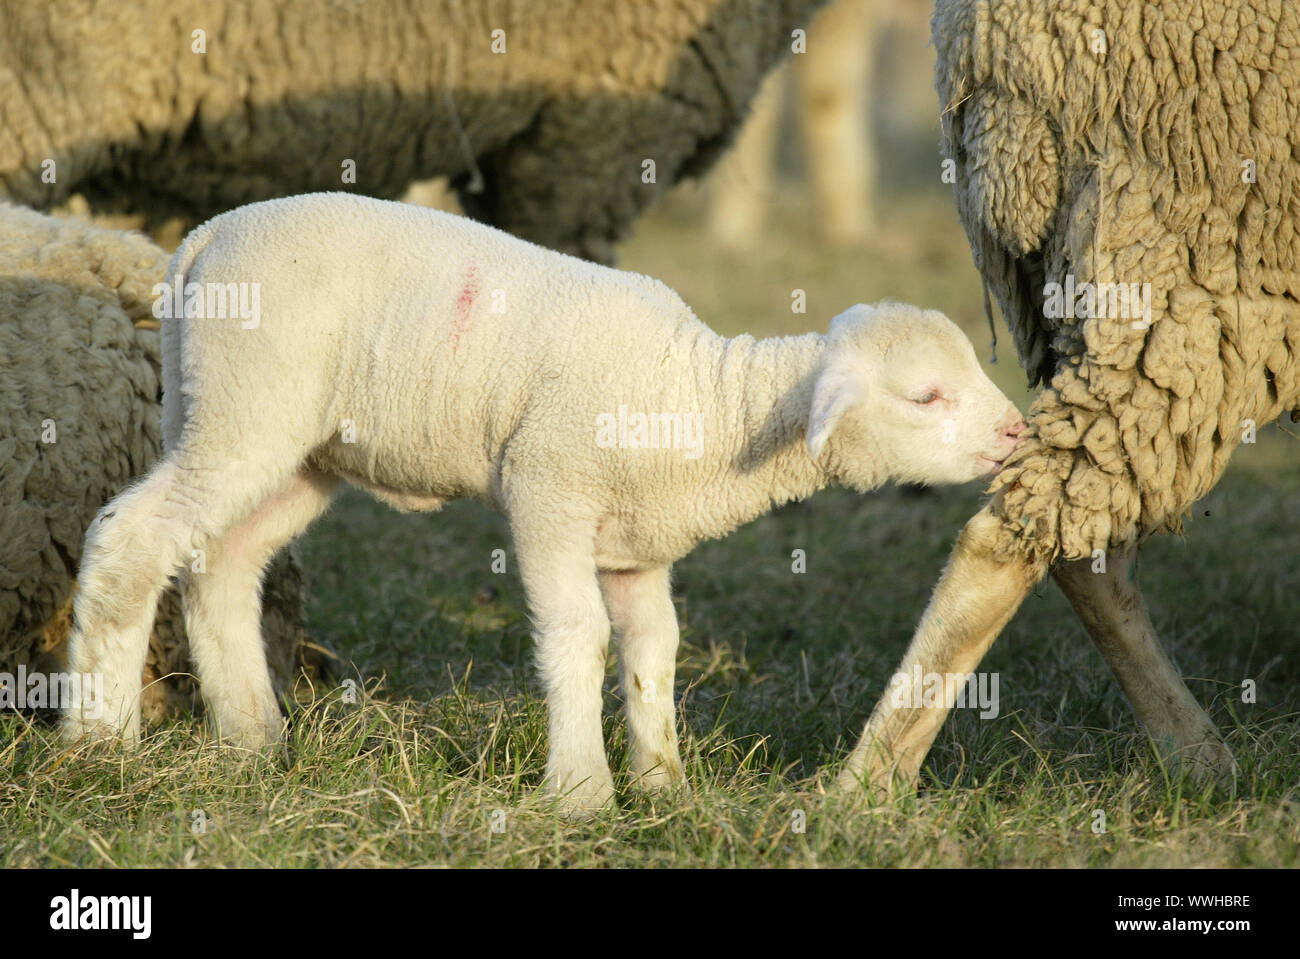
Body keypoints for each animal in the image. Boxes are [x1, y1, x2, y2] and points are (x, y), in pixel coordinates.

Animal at [61, 191, 1026, 817]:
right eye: (926, 395)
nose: (1018, 430)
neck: (703, 401)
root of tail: (203, 239)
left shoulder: (636, 543)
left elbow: (653, 649)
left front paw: (663, 785)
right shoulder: (548, 490)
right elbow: (579, 637)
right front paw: (581, 792)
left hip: (289, 444)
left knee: (218, 562)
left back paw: (252, 741)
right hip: (247, 403)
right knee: (131, 536)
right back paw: (100, 741)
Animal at [836, 0, 1300, 798]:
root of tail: (984, 43)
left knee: (1079, 536)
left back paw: (1193, 756)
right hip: (1191, 266)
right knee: (1019, 532)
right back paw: (867, 788)